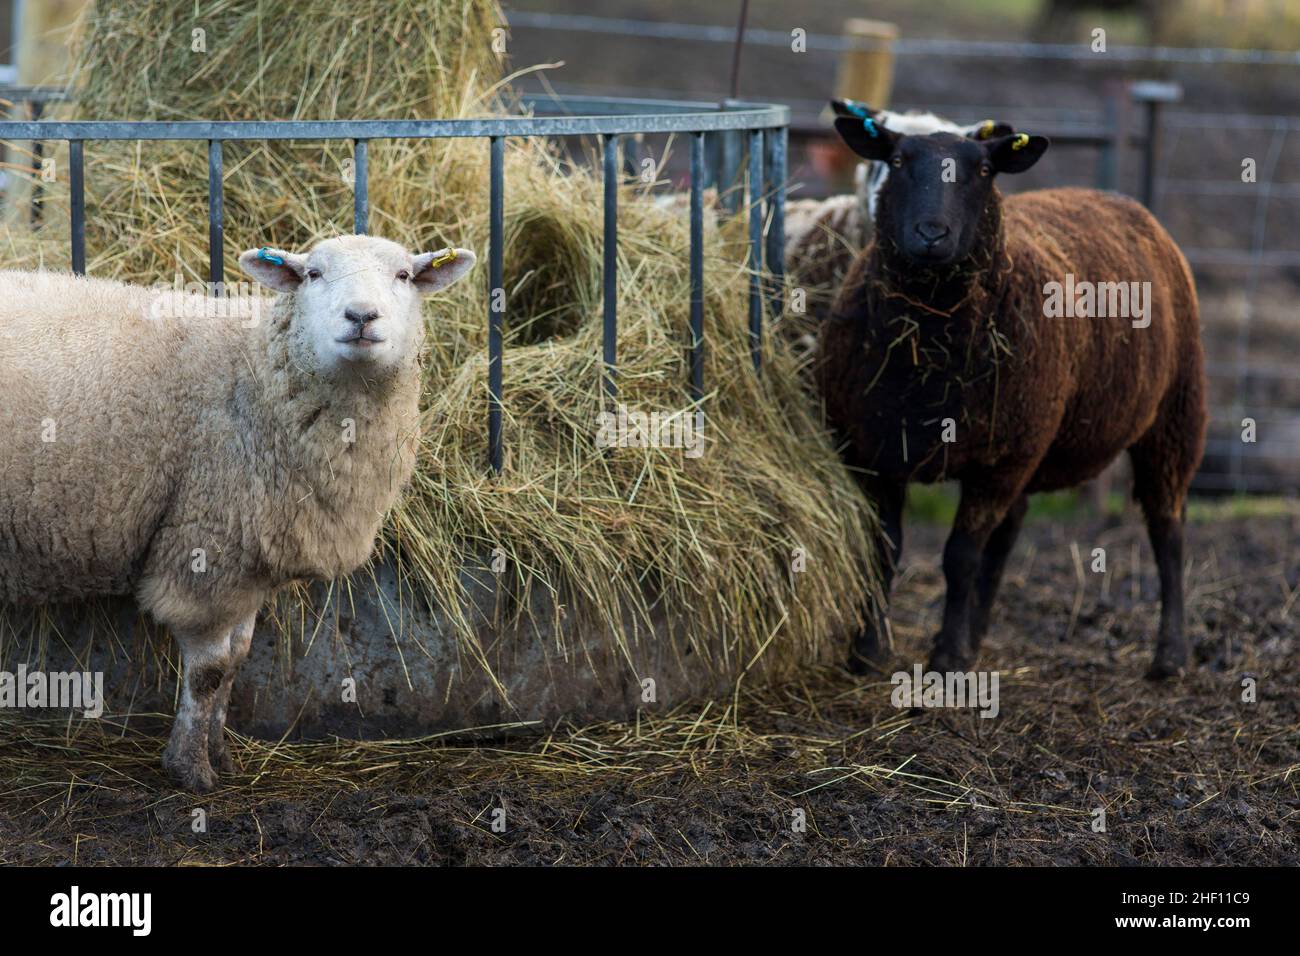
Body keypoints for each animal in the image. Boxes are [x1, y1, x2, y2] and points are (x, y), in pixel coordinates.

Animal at [0, 235, 477, 791]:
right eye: (313, 274)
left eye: (404, 275)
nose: (361, 316)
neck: (253, 373)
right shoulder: (207, 547)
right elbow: (209, 672)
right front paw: (190, 768)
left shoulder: (245, 561)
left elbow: (236, 662)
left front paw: (221, 754)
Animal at [816, 101, 1207, 680]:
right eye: (897, 160)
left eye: (982, 171)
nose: (932, 233)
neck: (928, 346)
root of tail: (1119, 200)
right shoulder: (875, 451)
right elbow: (885, 550)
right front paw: (868, 652)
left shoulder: (996, 463)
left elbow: (959, 557)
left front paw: (947, 658)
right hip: (1034, 438)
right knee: (1010, 533)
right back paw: (977, 634)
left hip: (1173, 413)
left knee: (1168, 527)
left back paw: (1171, 655)